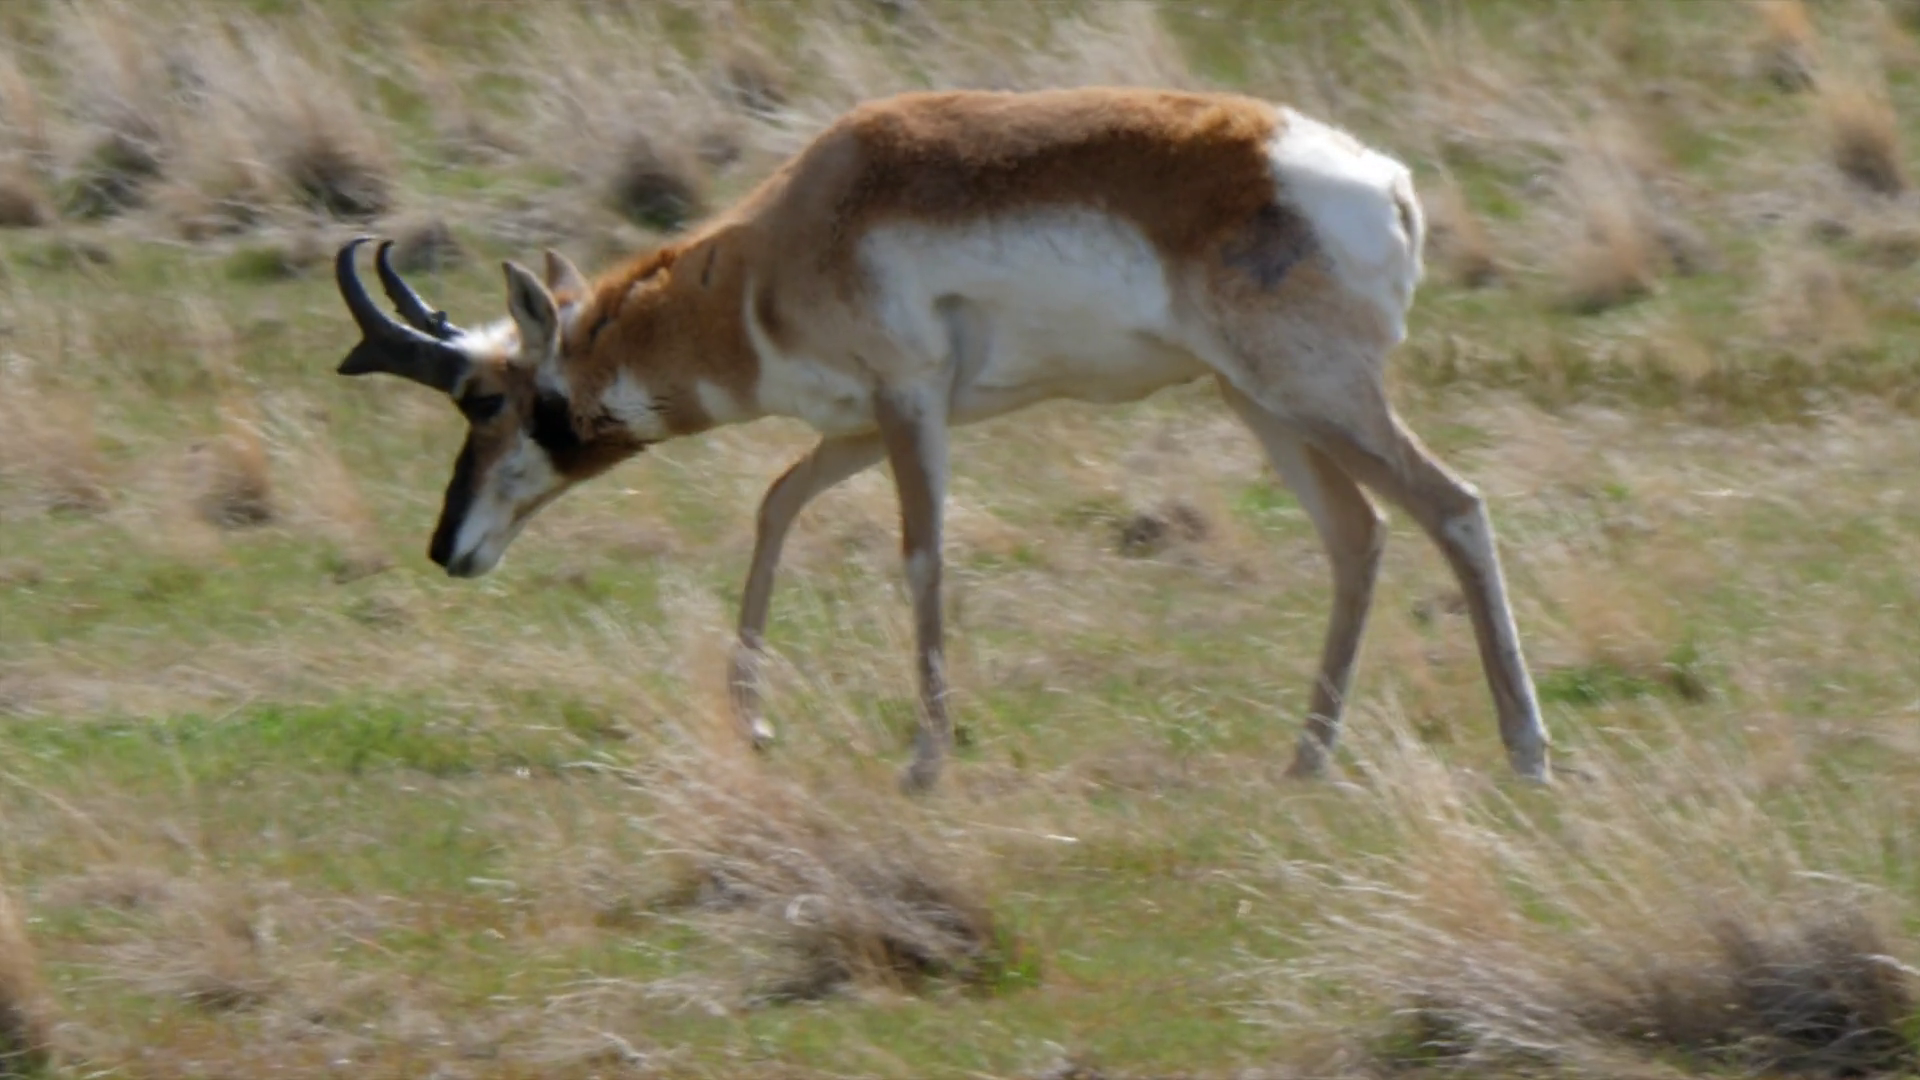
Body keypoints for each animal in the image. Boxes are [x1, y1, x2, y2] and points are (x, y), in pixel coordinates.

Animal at [333, 86, 1552, 792]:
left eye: (482, 399)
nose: (447, 547)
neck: (784, 237)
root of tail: (1384, 182)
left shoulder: (911, 404)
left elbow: (922, 555)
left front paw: (924, 759)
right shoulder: (866, 423)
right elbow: (775, 507)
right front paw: (755, 727)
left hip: (1314, 394)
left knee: (1452, 506)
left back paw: (1527, 755)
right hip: (1262, 402)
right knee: (1359, 535)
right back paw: (1306, 758)